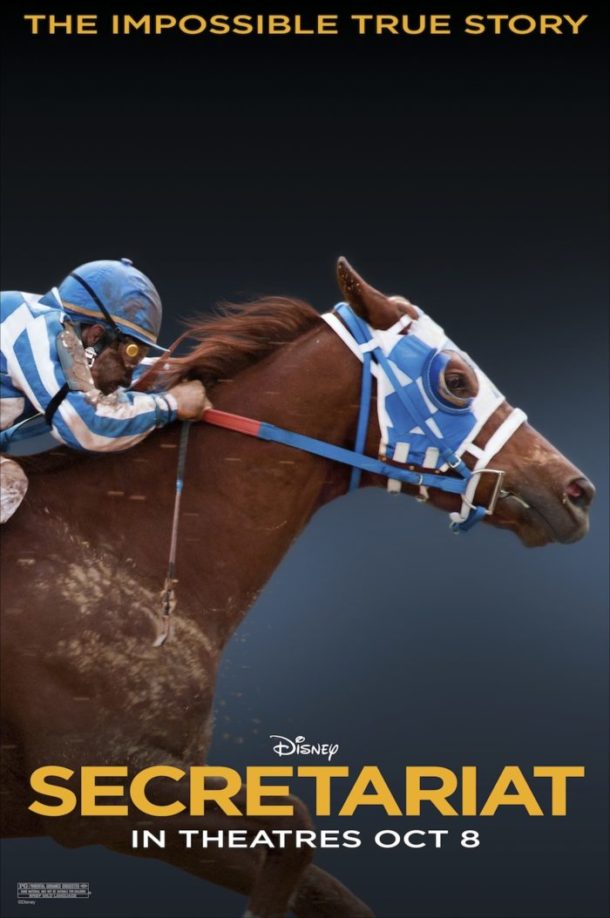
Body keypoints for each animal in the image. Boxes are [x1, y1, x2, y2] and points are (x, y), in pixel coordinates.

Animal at [0, 258, 595, 917]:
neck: (122, 550)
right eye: (456, 381)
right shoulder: (101, 790)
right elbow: (295, 831)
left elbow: (319, 877)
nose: (577, 490)